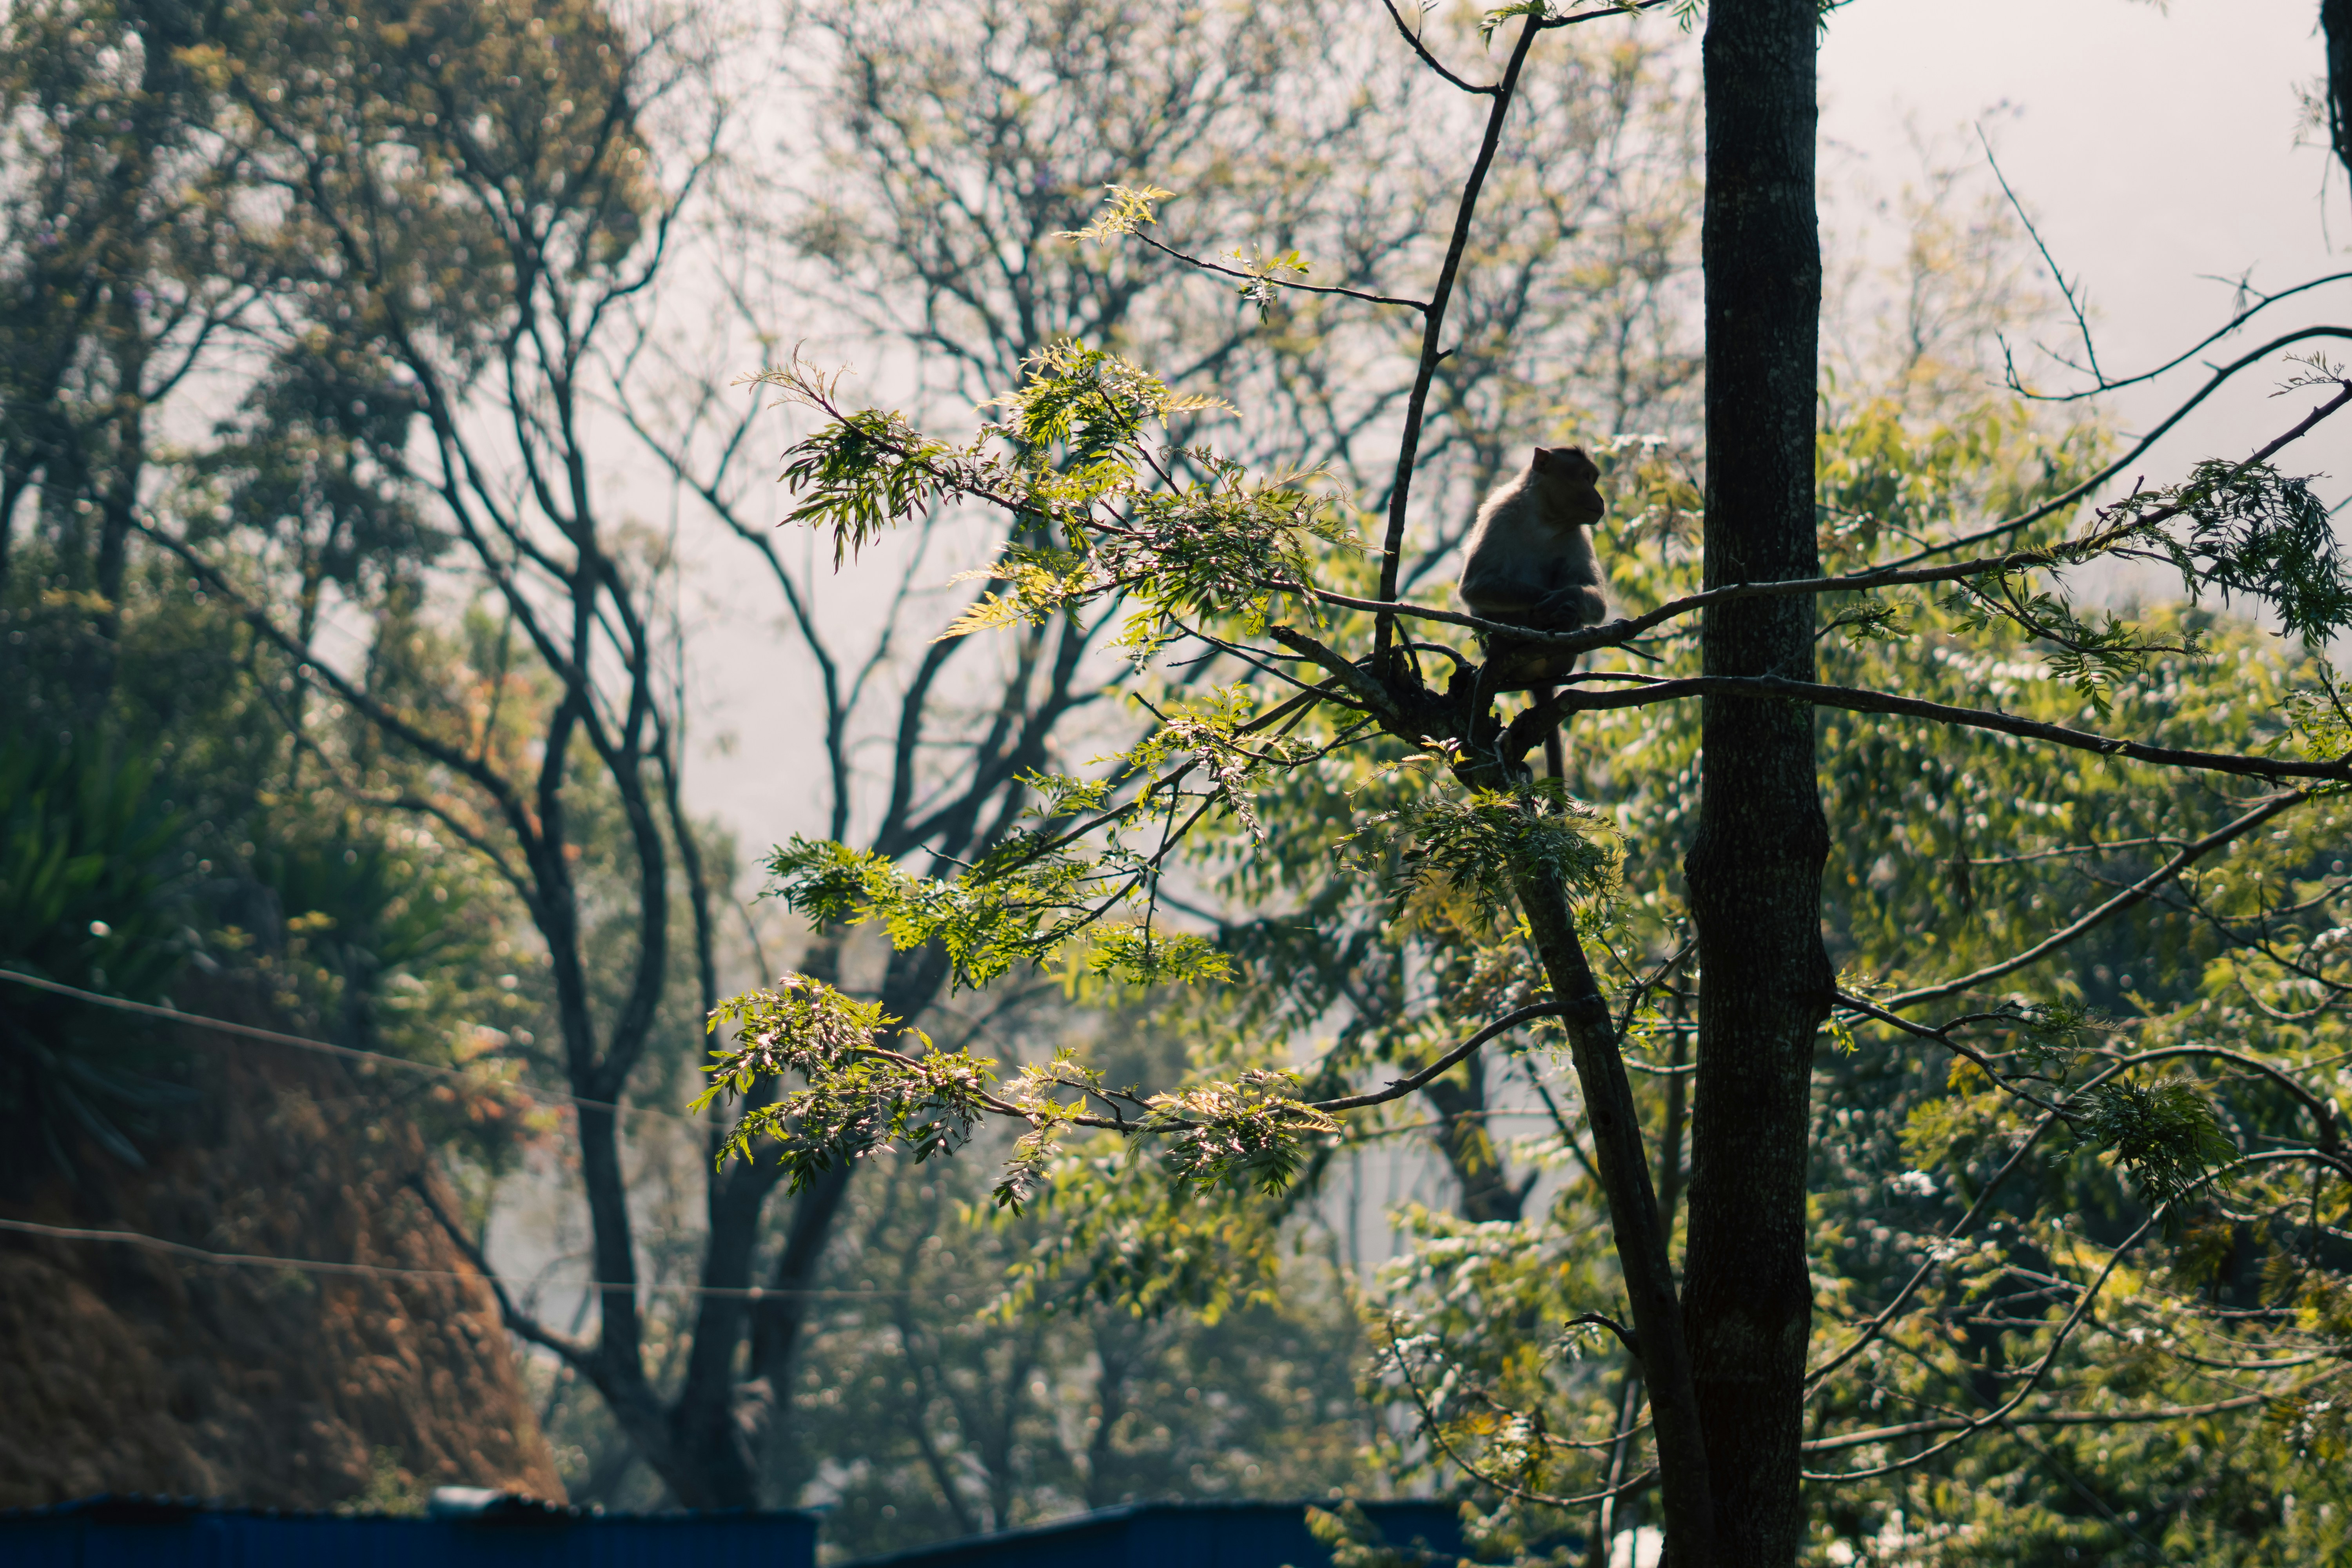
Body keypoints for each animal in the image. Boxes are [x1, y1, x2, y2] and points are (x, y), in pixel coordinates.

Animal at [1456, 445, 1610, 779]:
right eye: (1585, 477)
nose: (1601, 499)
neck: (1545, 519)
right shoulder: (1500, 513)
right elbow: (1475, 586)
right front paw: (1547, 606)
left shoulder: (1577, 533)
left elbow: (1596, 599)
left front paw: (1563, 601)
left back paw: (1561, 623)